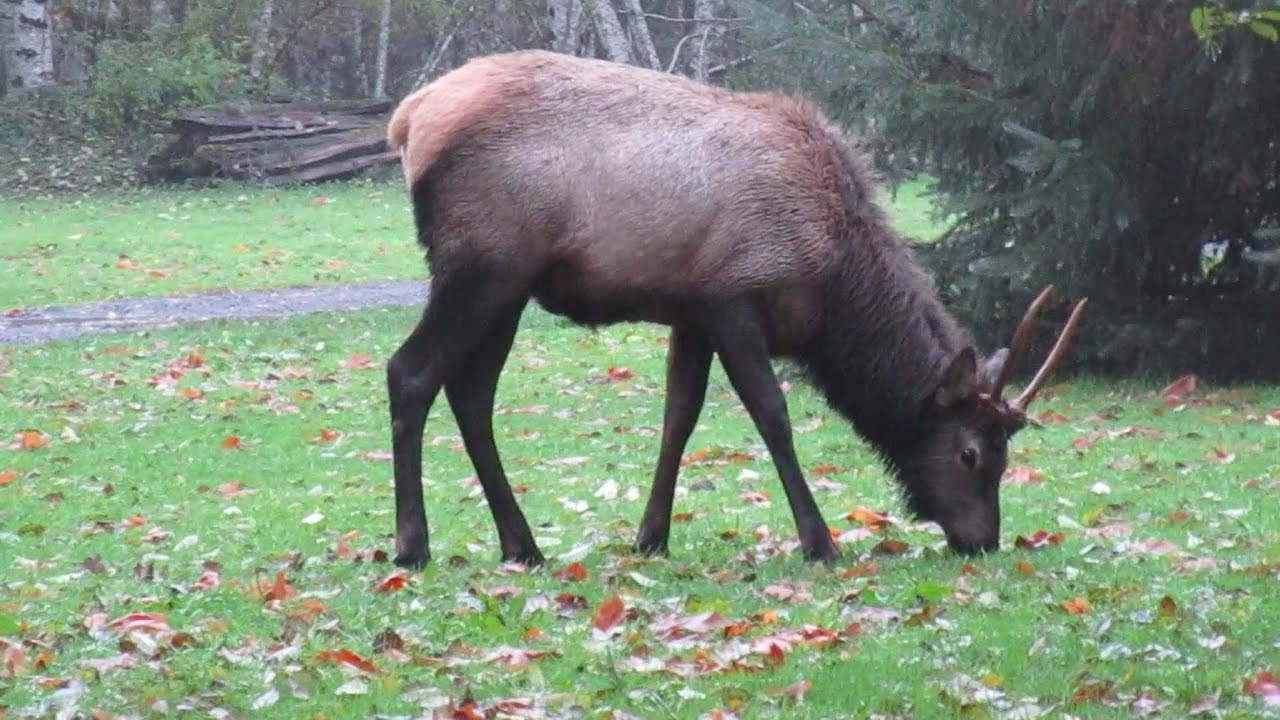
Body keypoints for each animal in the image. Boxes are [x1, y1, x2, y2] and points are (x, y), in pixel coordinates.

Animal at [382, 49, 1087, 570]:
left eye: (1006, 453)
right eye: (971, 453)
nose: (984, 539)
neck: (830, 287)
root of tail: (407, 120)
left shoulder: (689, 314)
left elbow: (679, 417)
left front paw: (651, 538)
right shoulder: (732, 299)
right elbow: (772, 415)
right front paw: (819, 541)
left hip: (507, 287)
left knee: (471, 392)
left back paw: (522, 545)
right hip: (481, 267)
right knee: (410, 373)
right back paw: (413, 547)